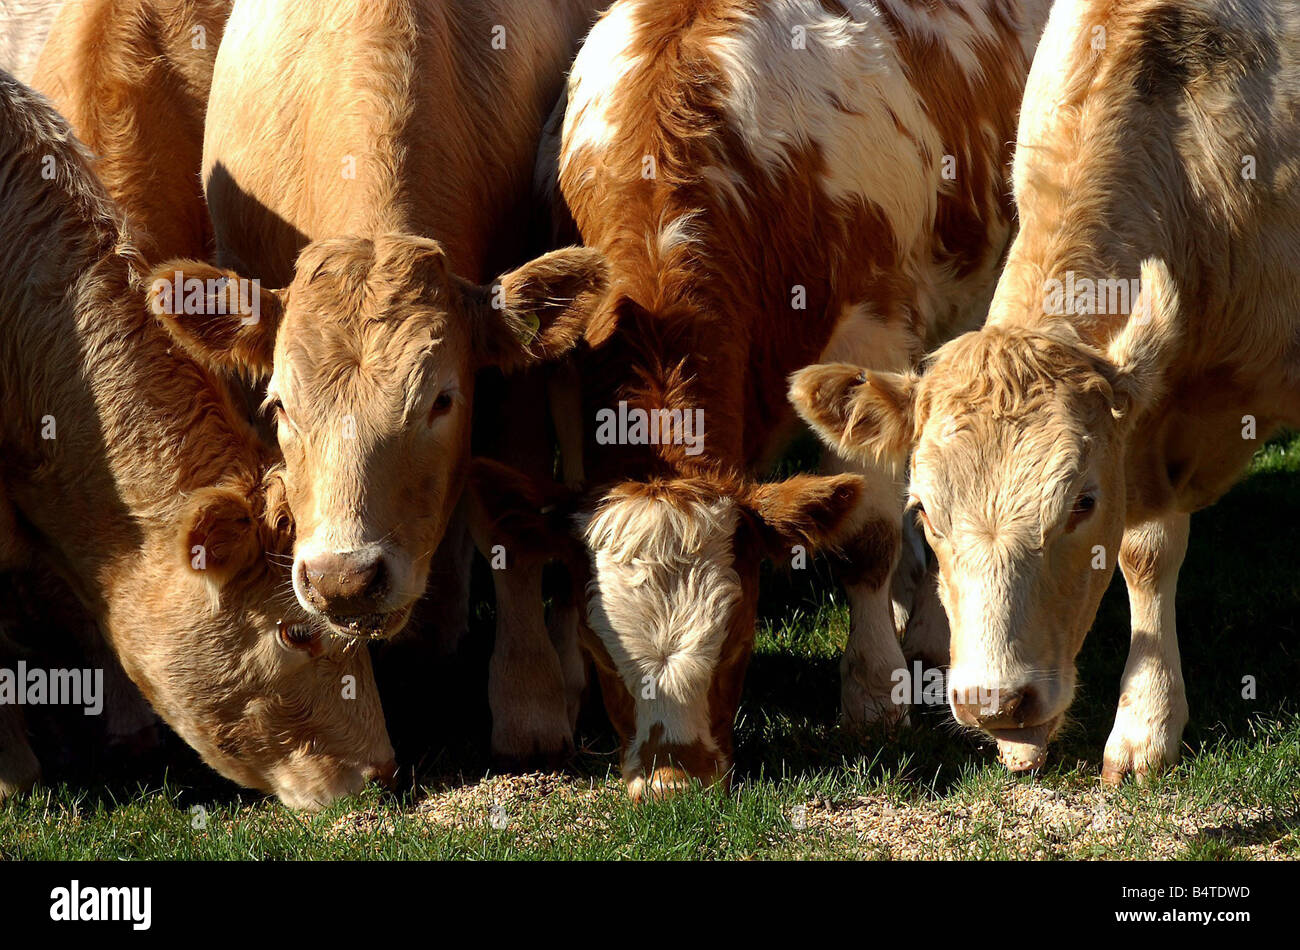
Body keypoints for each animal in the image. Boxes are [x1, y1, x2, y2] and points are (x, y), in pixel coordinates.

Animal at [152, 0, 612, 766]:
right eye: (282, 406)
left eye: (443, 400)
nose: (344, 578)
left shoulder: (512, 382)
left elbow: (508, 528)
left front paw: (531, 704)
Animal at [549, 0, 1051, 798]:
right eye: (604, 657)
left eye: (736, 639)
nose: (674, 784)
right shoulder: (570, 373)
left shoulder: (869, 334)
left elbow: (866, 541)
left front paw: (873, 695)